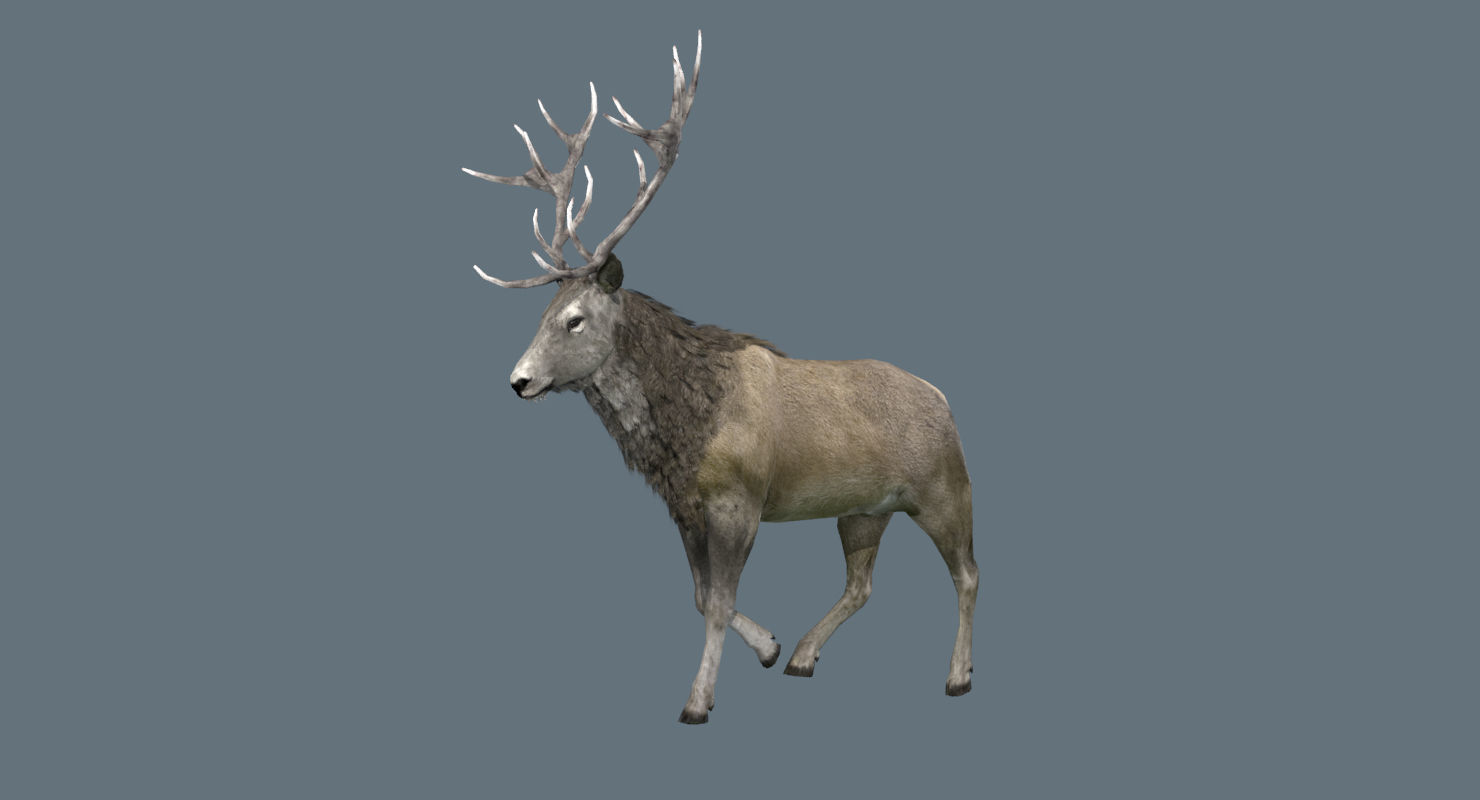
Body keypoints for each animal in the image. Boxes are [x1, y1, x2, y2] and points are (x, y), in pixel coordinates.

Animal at [463, 32, 976, 724]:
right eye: (541, 314)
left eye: (574, 319)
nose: (519, 380)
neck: (682, 436)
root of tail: (944, 399)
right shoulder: (684, 506)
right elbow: (703, 598)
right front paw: (770, 646)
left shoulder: (741, 497)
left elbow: (720, 602)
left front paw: (697, 702)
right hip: (863, 509)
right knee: (862, 583)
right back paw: (802, 656)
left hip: (945, 487)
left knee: (967, 572)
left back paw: (958, 676)